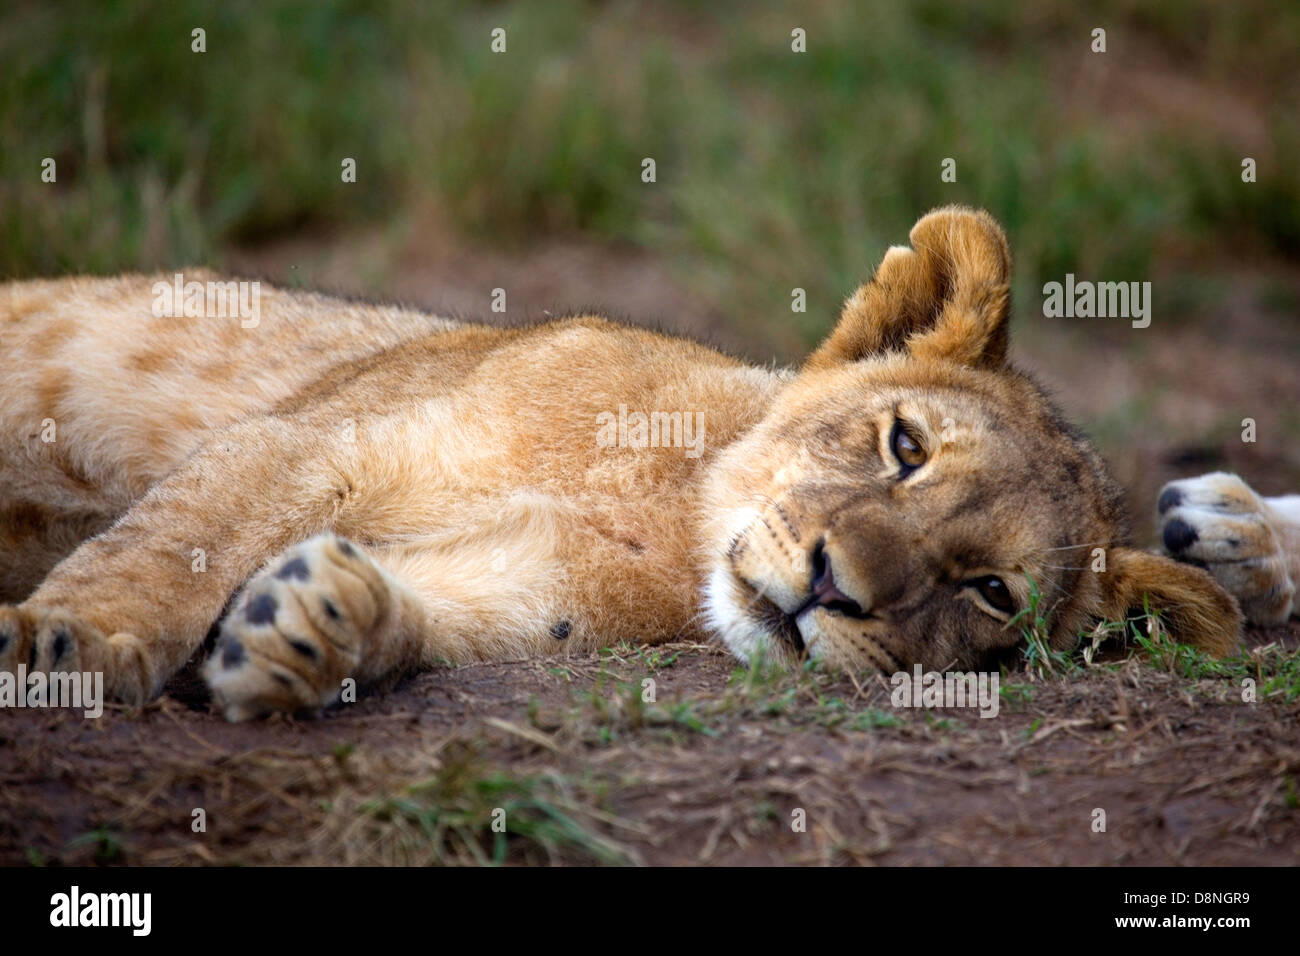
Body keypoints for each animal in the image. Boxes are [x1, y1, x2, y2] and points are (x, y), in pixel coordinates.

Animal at [0, 207, 1288, 721]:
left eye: (989, 592)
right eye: (903, 444)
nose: (832, 585)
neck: (668, 508)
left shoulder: (522, 597)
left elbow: (410, 616)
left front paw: (310, 627)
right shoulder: (315, 434)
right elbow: (177, 538)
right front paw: (71, 642)